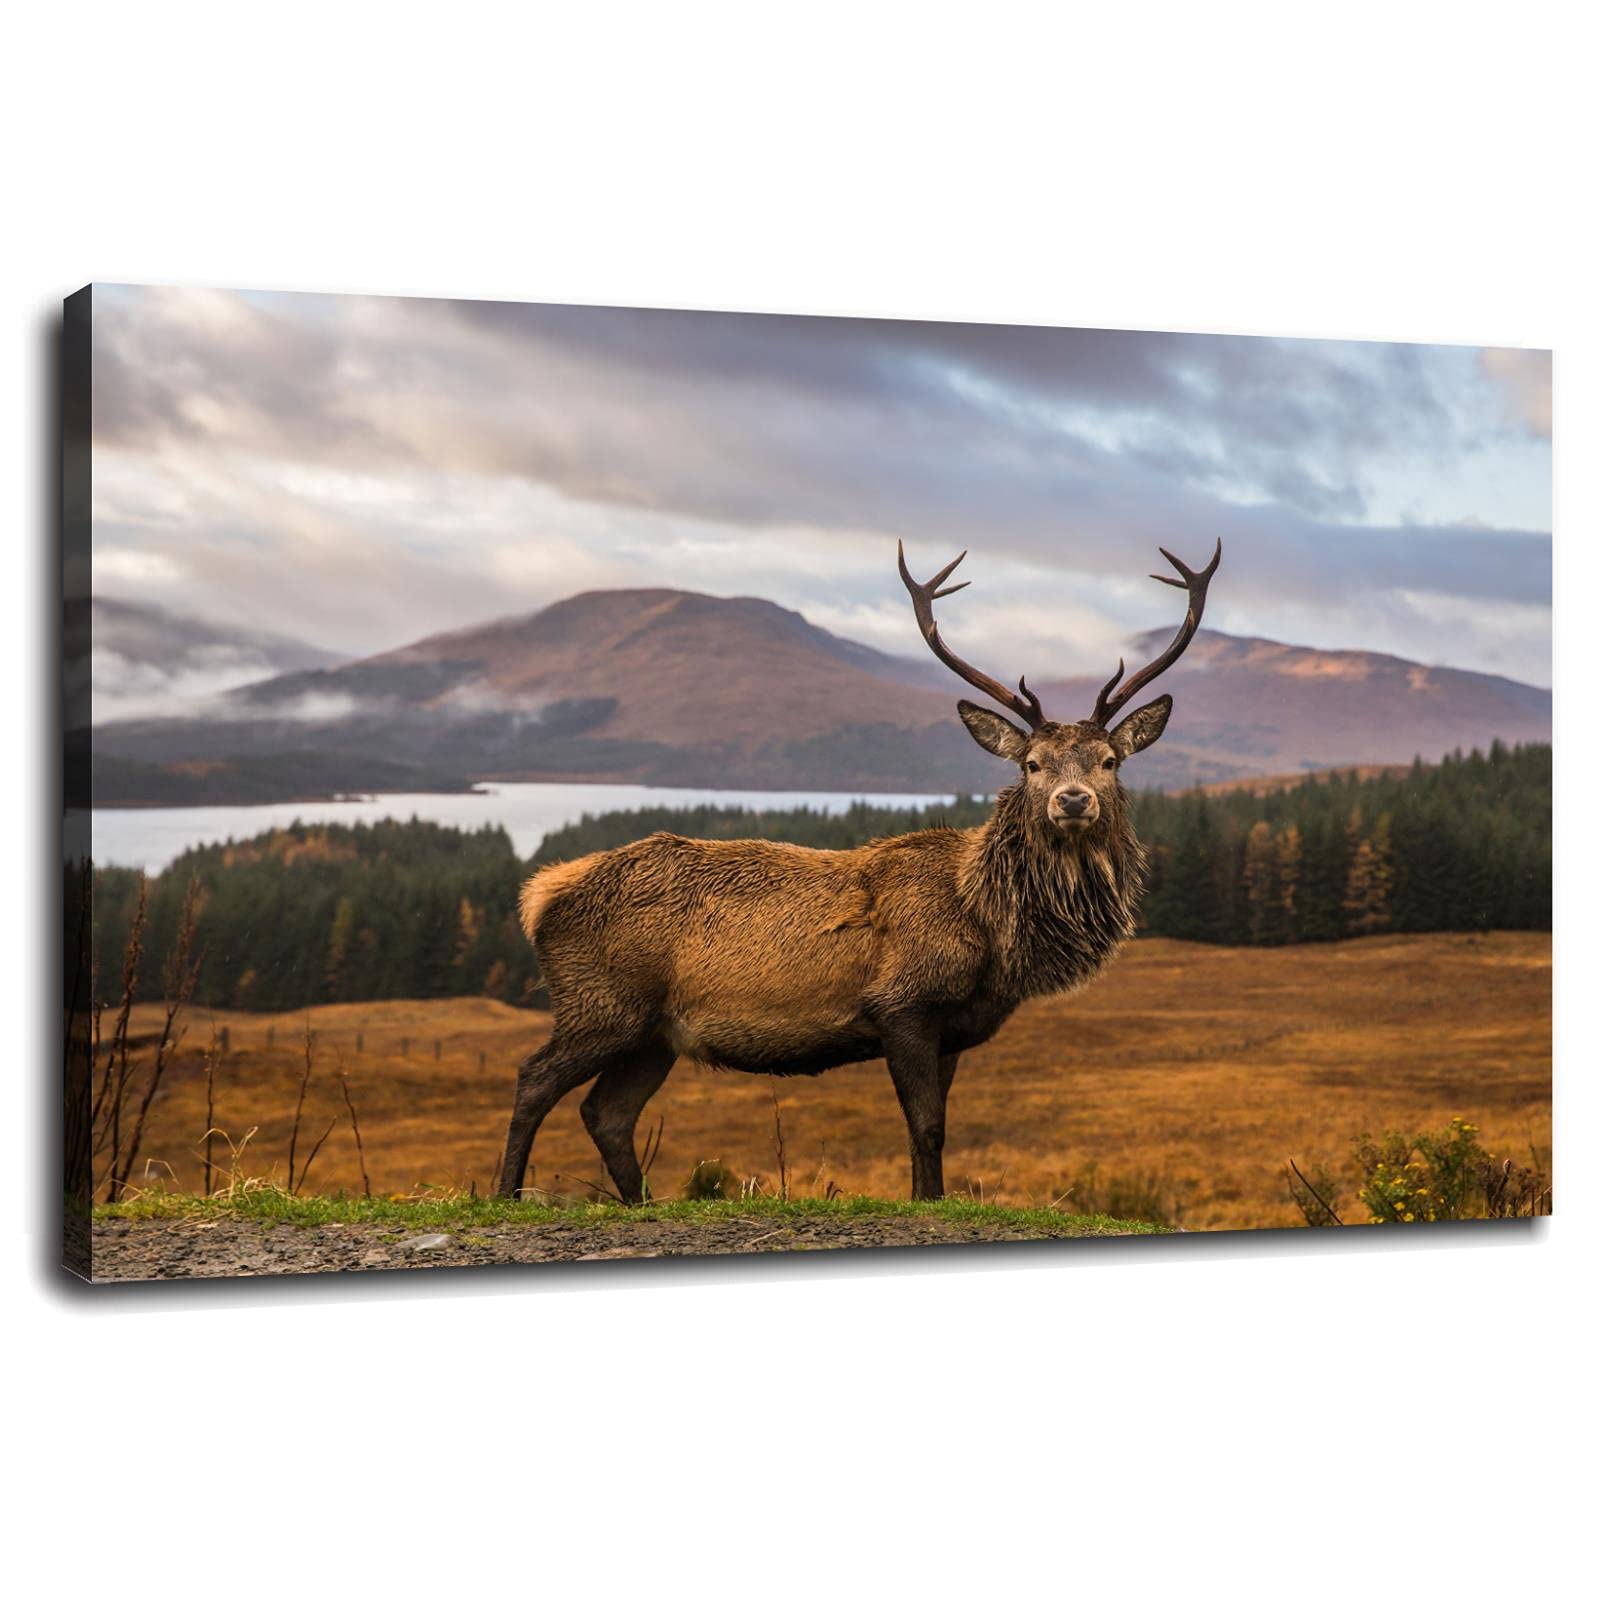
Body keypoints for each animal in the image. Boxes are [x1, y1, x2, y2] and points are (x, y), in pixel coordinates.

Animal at [498, 536, 1221, 1202]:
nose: (1073, 800)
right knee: (535, 1078)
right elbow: (927, 1126)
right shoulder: (901, 1001)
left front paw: (927, 1197)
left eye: (1110, 761)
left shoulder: (952, 1028)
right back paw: (507, 1193)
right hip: (601, 1002)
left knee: (606, 1112)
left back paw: (644, 1201)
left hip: (655, 1033)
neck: (991, 931)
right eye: (1032, 764)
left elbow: (930, 1131)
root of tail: (538, 895)